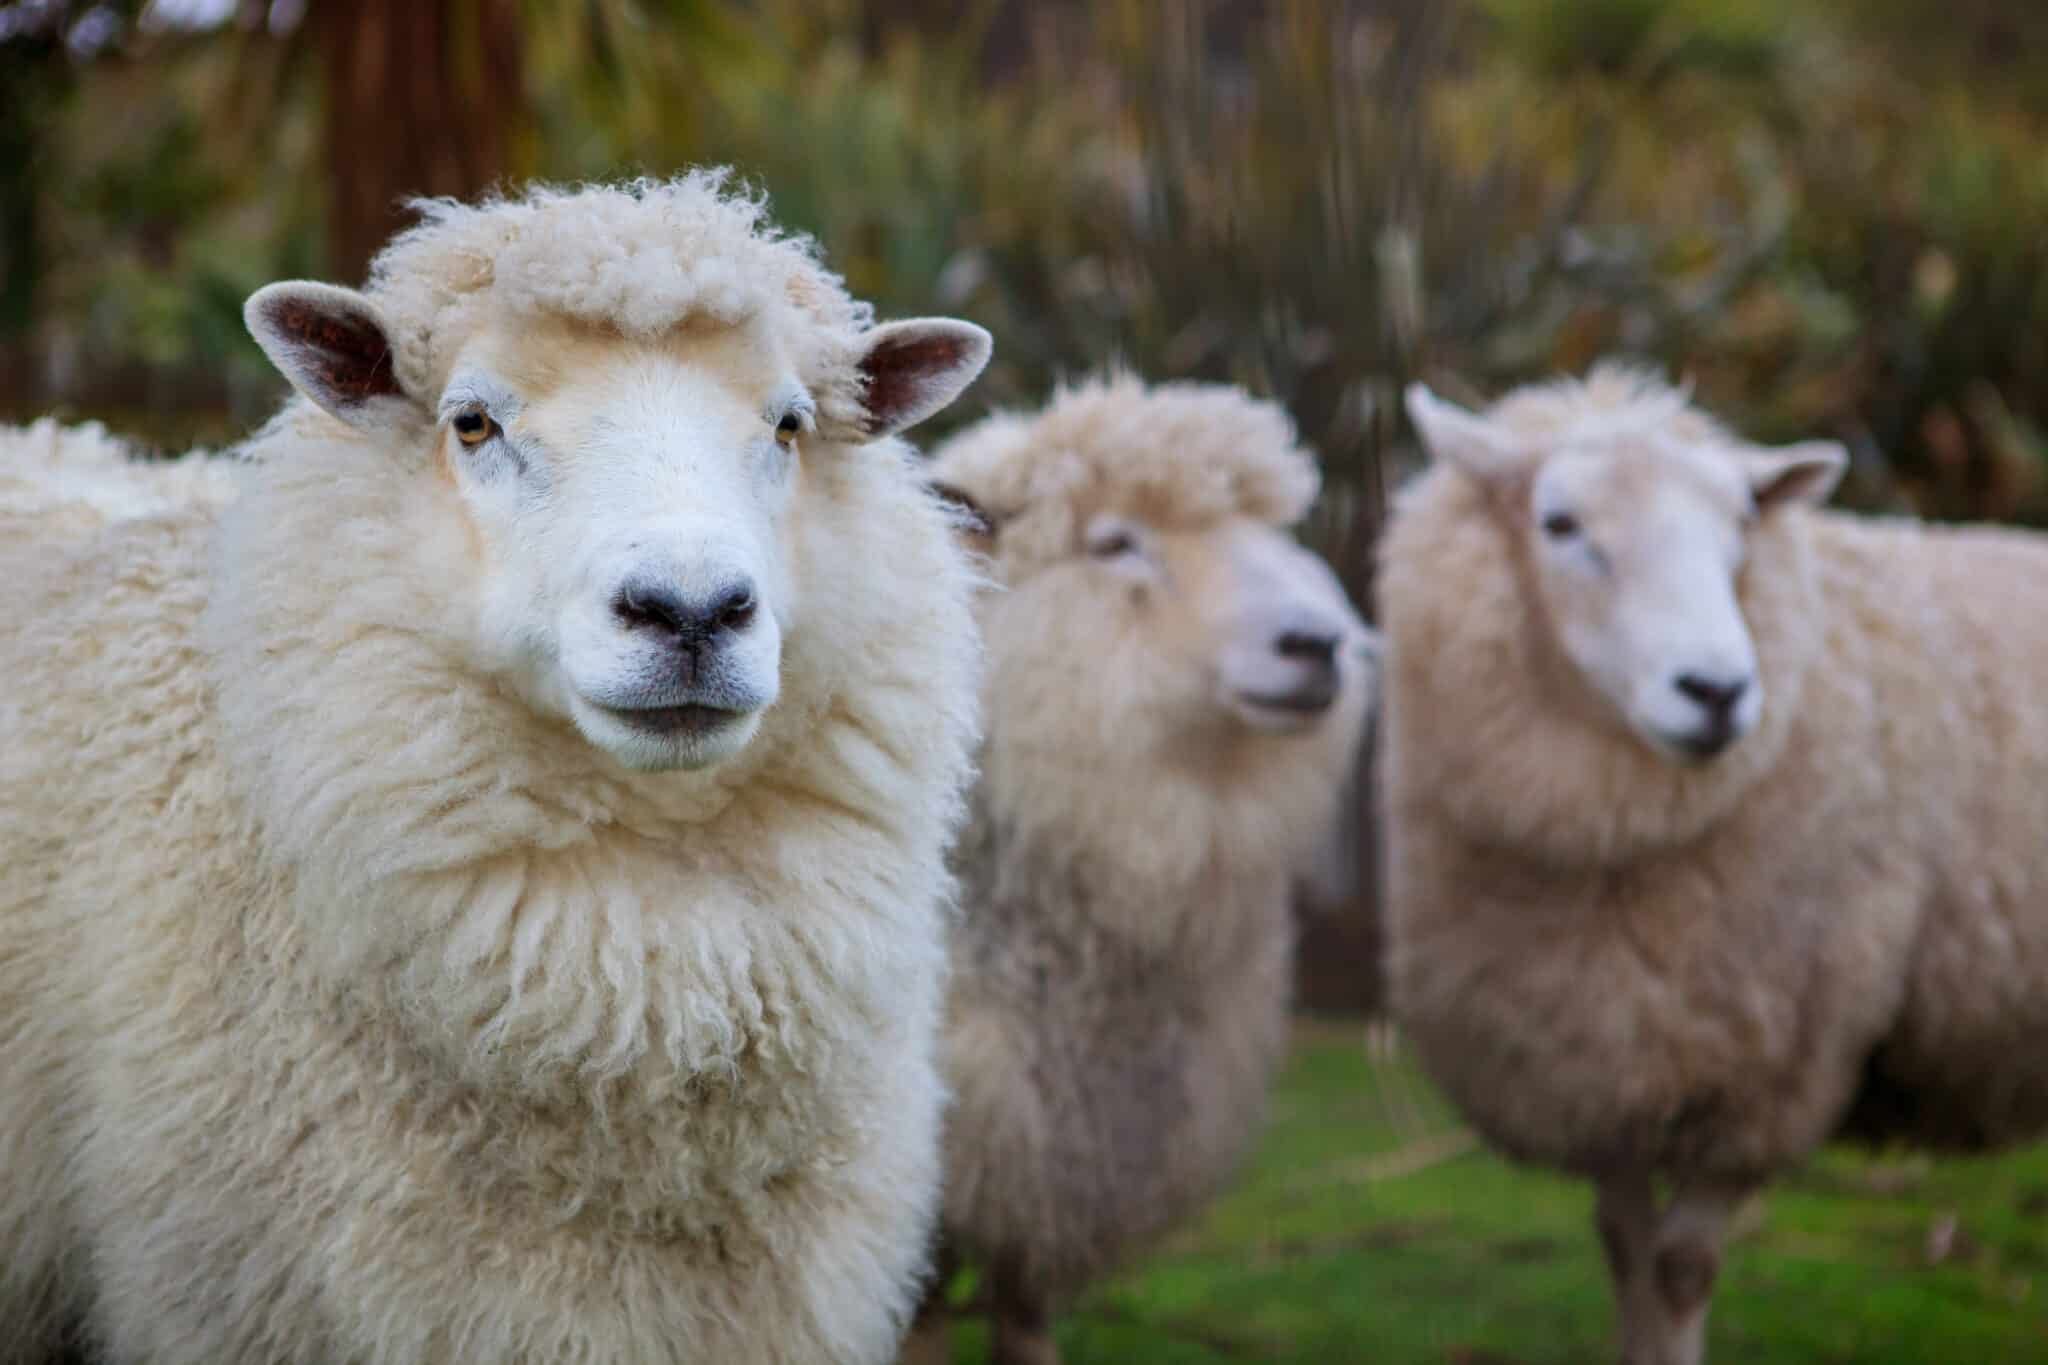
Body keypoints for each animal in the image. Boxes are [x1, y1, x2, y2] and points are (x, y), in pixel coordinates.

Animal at [1381, 362, 2048, 1365]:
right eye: (1558, 523)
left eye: (1741, 524)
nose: (1718, 690)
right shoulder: (1600, 1050)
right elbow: (1623, 1249)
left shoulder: (1777, 1063)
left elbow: (1679, 1265)